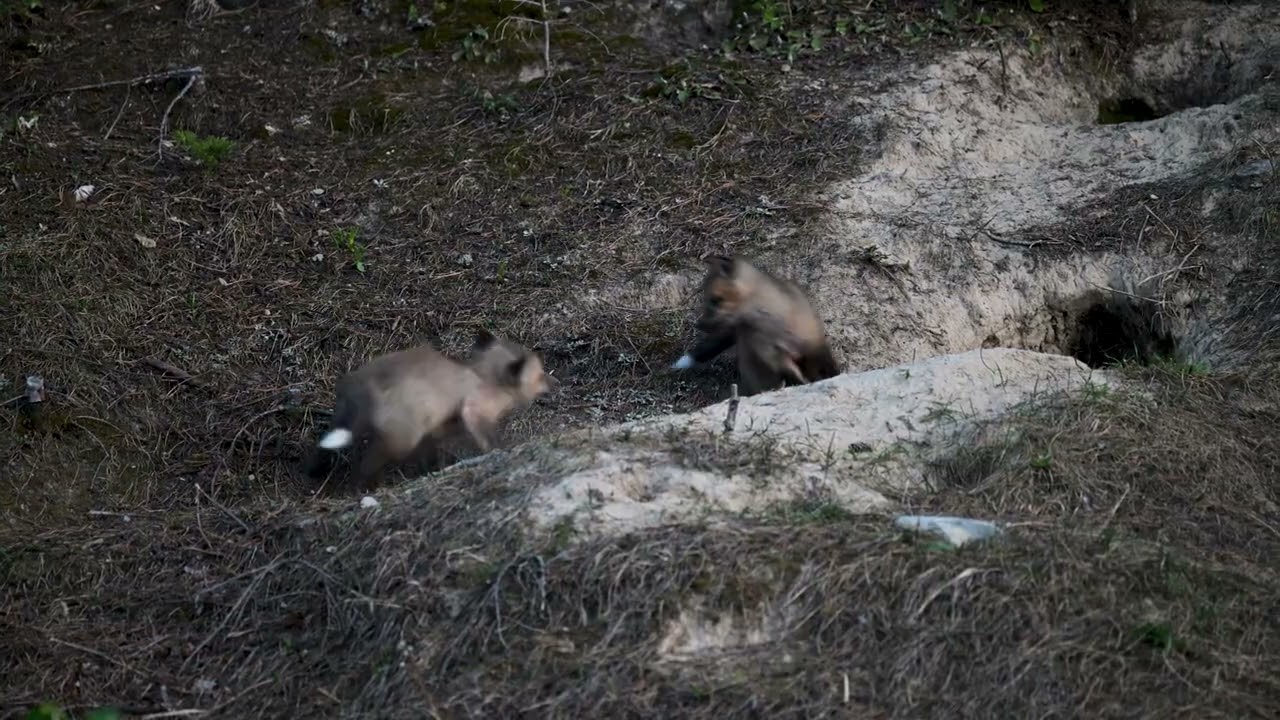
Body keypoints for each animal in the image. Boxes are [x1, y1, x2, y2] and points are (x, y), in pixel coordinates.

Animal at [304, 330, 554, 490]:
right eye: (541, 375)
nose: (555, 382)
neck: (483, 377)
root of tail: (364, 385)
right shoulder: (474, 412)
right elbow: (490, 440)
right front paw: (499, 452)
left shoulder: (432, 433)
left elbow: (430, 459)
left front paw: (430, 472)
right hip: (401, 440)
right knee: (365, 467)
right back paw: (367, 489)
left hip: (342, 419)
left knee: (320, 448)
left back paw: (314, 472)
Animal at [671, 254, 842, 396]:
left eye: (716, 299)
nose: (699, 325)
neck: (773, 325)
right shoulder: (772, 354)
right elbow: (792, 372)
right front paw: (801, 383)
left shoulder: (813, 345)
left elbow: (828, 366)